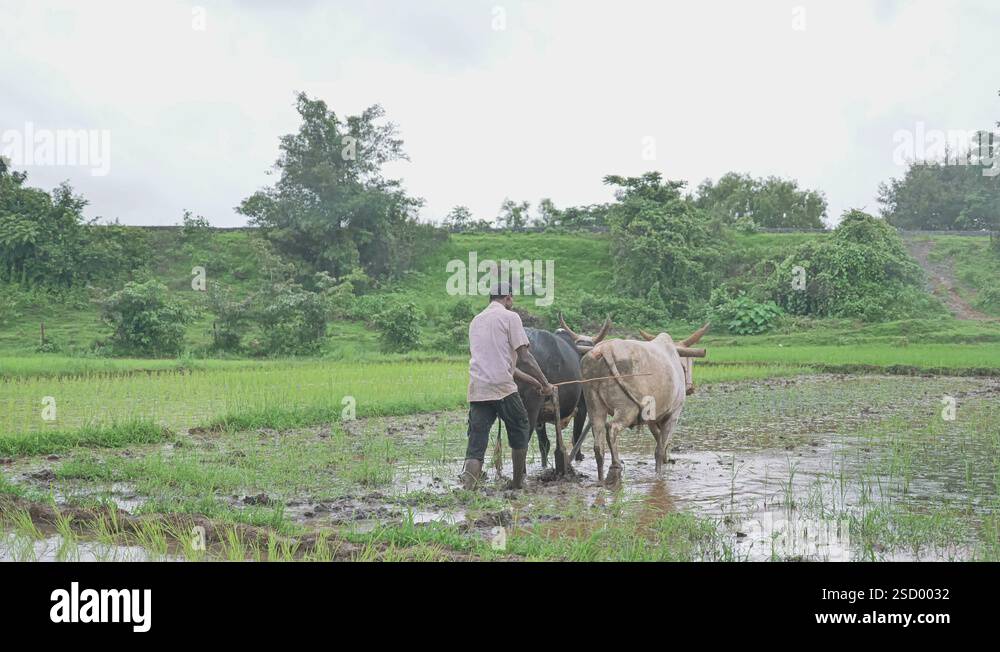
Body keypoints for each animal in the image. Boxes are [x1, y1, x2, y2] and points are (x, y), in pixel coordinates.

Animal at [515, 315, 611, 474]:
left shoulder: (542, 417)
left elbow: (544, 444)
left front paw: (544, 466)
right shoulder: (582, 407)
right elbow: (576, 437)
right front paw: (577, 459)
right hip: (531, 408)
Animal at [579, 323, 709, 486]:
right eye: (687, 364)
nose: (691, 388)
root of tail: (605, 349)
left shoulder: (652, 418)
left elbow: (660, 442)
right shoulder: (673, 415)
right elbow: (659, 449)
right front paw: (659, 474)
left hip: (593, 404)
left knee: (598, 443)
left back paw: (600, 478)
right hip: (627, 408)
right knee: (612, 428)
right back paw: (615, 467)